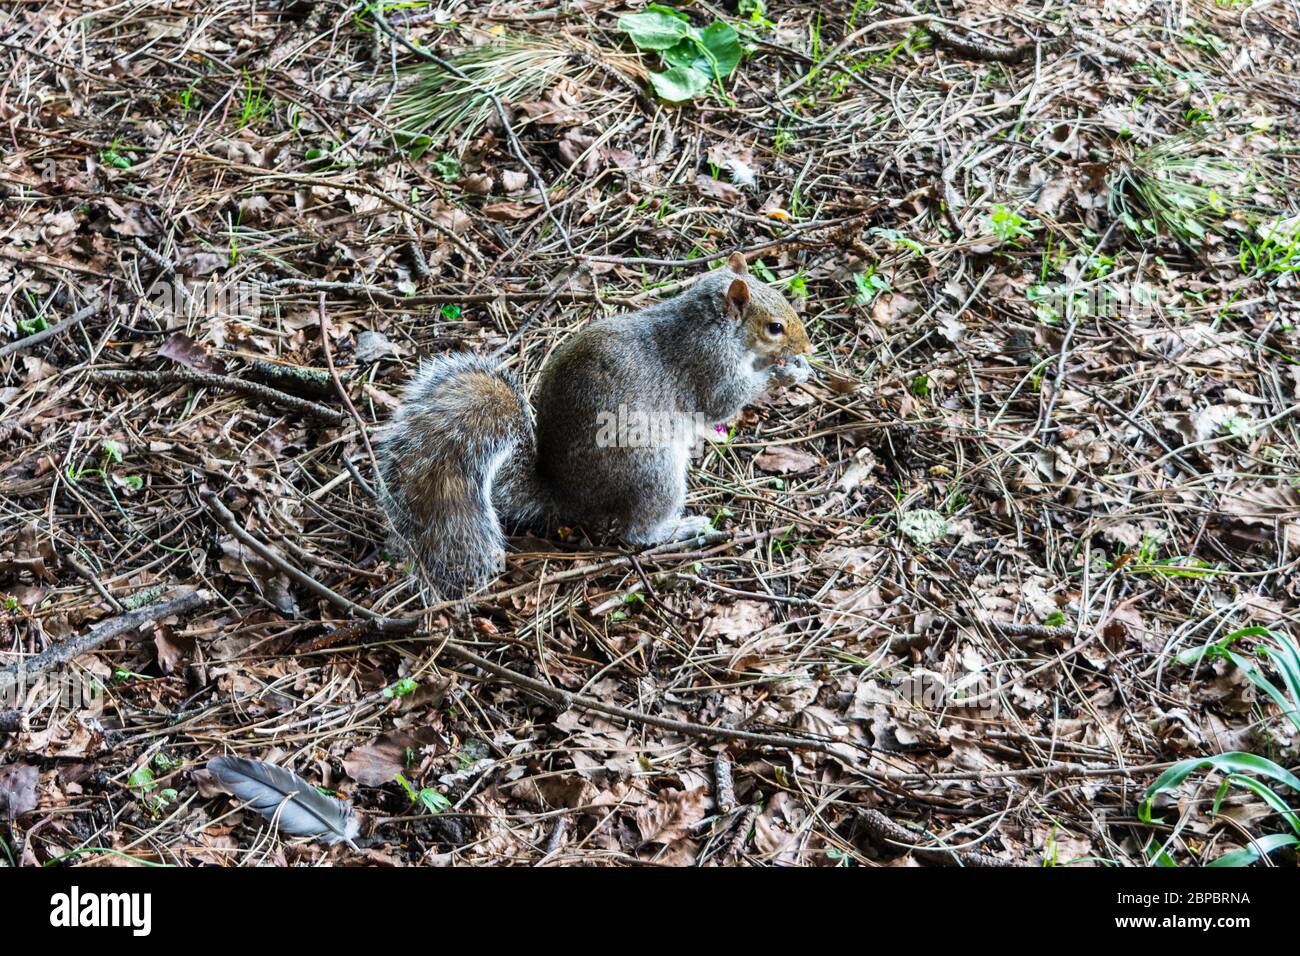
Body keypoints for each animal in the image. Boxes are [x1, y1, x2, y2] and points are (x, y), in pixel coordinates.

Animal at [377, 253, 812, 596]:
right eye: (774, 327)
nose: (805, 346)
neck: (712, 323)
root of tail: (570, 495)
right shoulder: (708, 362)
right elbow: (724, 401)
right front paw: (782, 373)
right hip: (654, 470)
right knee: (637, 534)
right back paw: (683, 529)